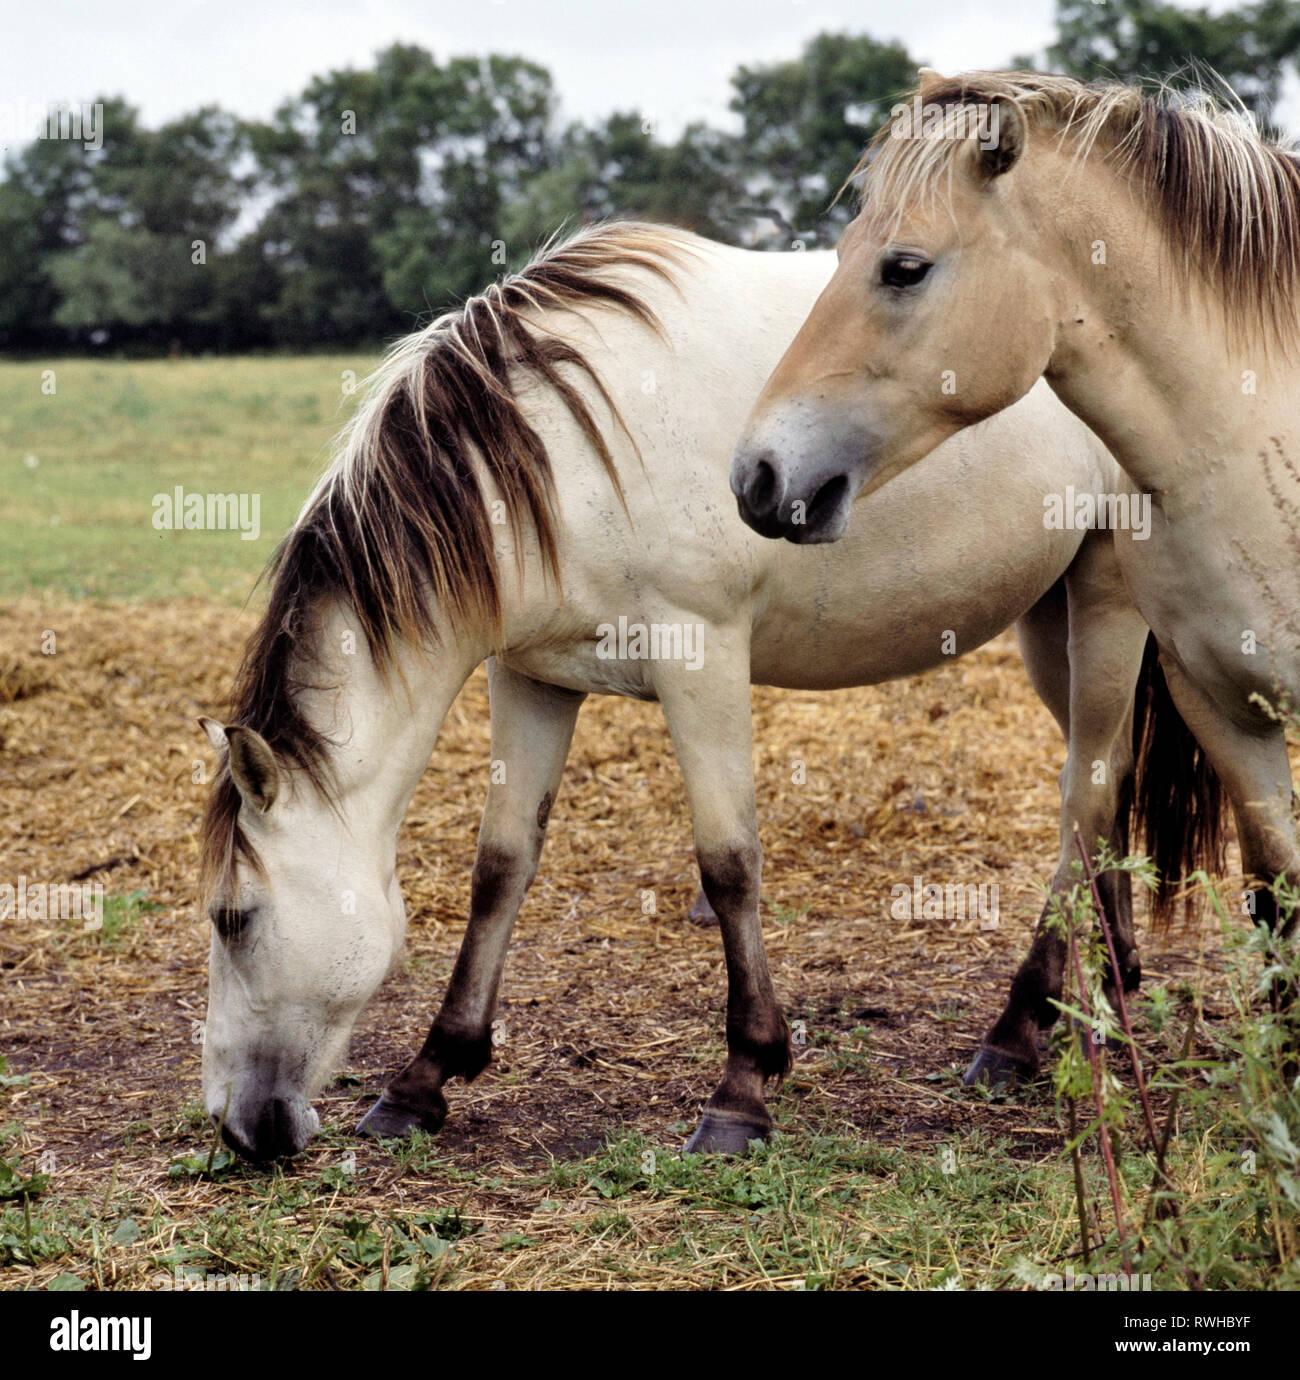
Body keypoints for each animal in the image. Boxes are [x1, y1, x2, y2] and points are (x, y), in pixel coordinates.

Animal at [198, 220, 1170, 1163]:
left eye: (234, 918)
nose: (239, 1131)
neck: (563, 452)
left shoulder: (701, 654)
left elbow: (729, 863)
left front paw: (742, 1090)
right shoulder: (533, 678)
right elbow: (501, 865)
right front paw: (425, 1078)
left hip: (1108, 599)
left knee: (1082, 799)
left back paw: (1017, 1030)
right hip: (1052, 617)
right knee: (1110, 776)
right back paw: (1111, 990)